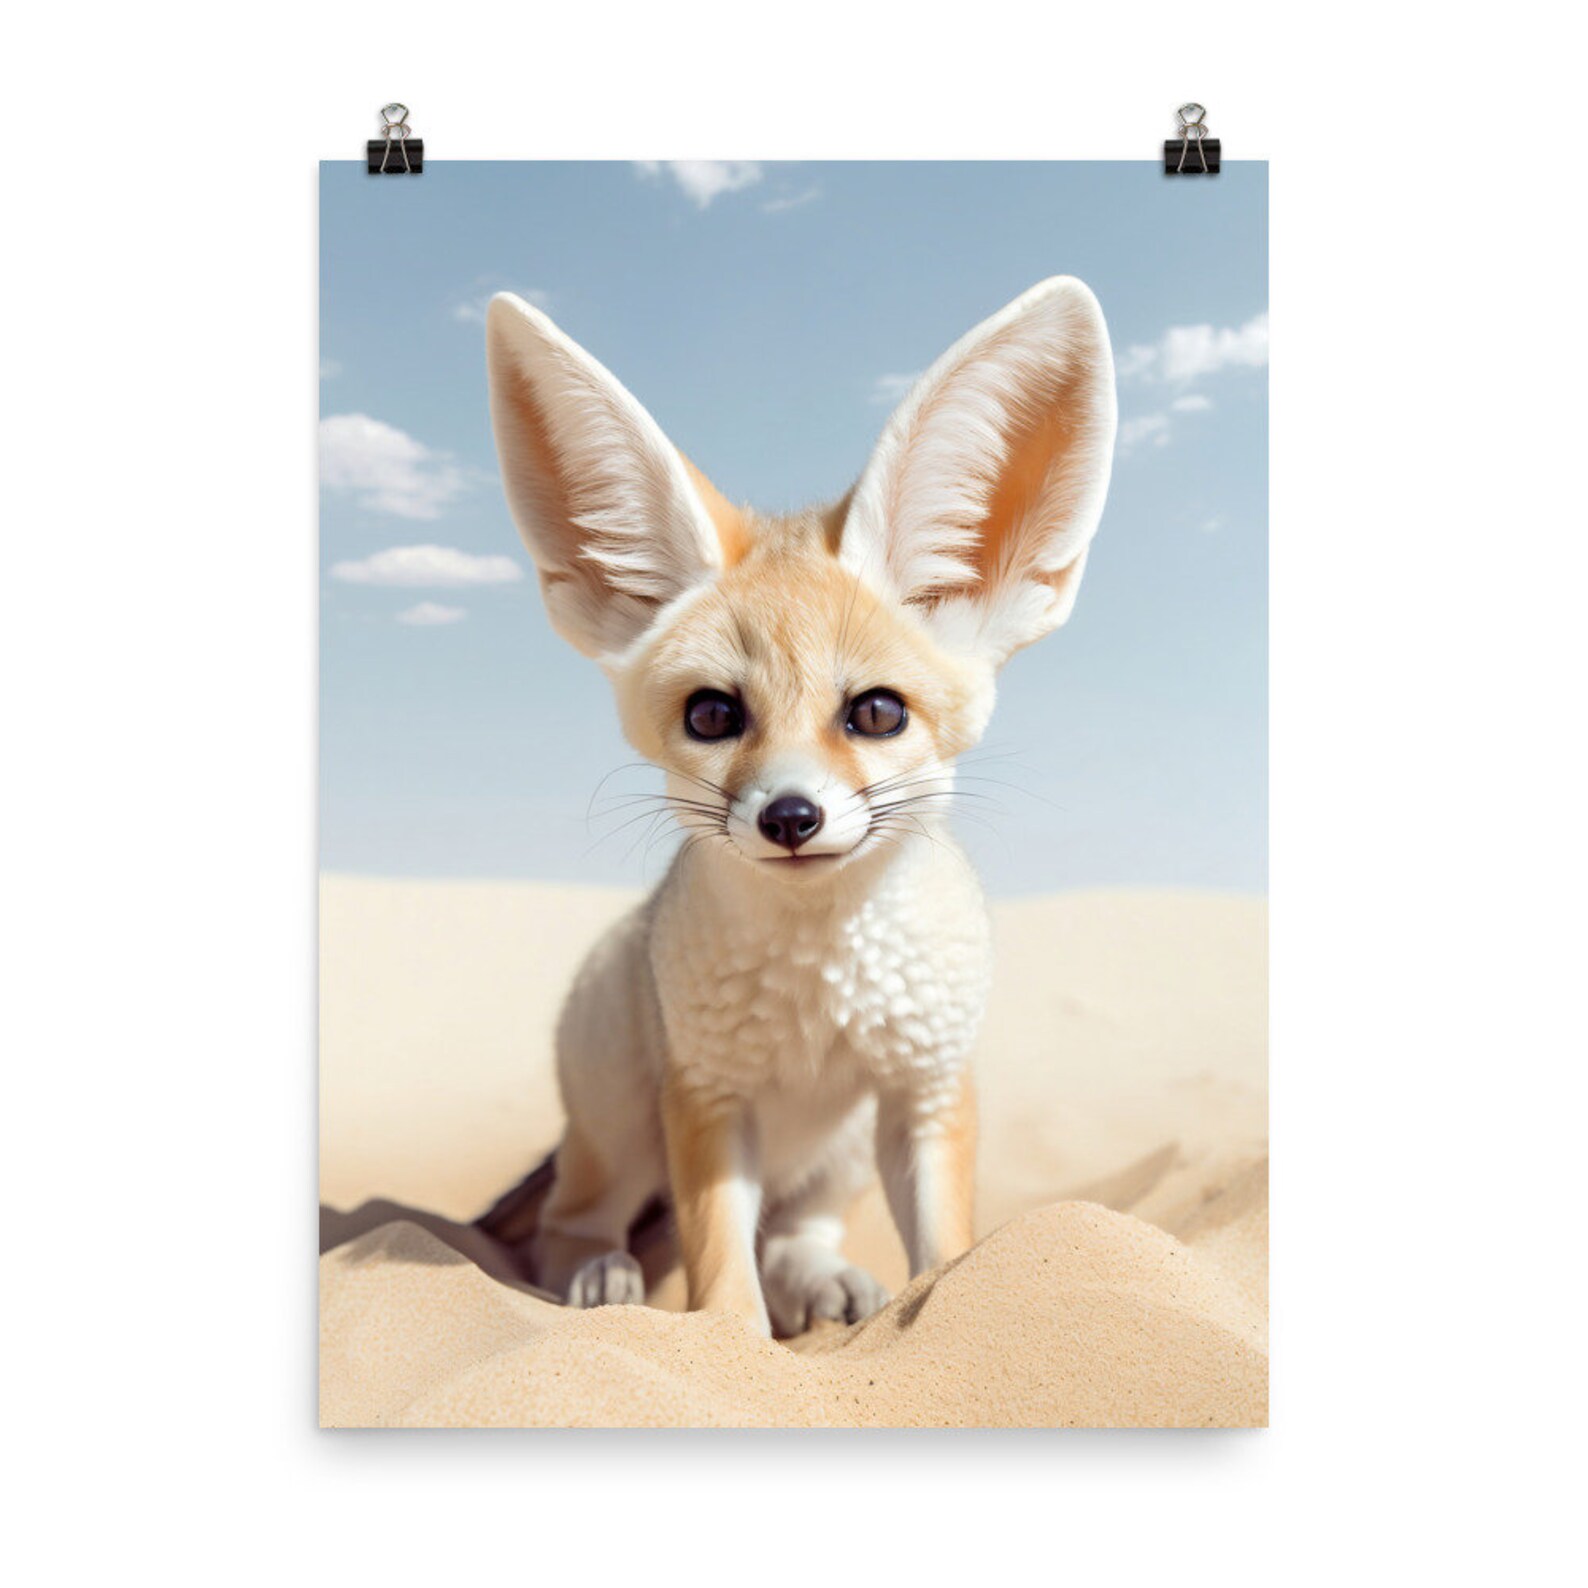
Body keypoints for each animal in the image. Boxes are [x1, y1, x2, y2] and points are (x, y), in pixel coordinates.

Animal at [484, 276, 1116, 1338]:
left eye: (875, 713)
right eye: (712, 715)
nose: (789, 818)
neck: (819, 993)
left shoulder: (927, 1087)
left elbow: (946, 1258)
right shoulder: (705, 1095)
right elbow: (722, 1286)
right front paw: (725, 1354)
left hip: (839, 1153)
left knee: (794, 1235)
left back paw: (824, 1280)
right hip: (622, 1112)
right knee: (570, 1221)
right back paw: (600, 1274)